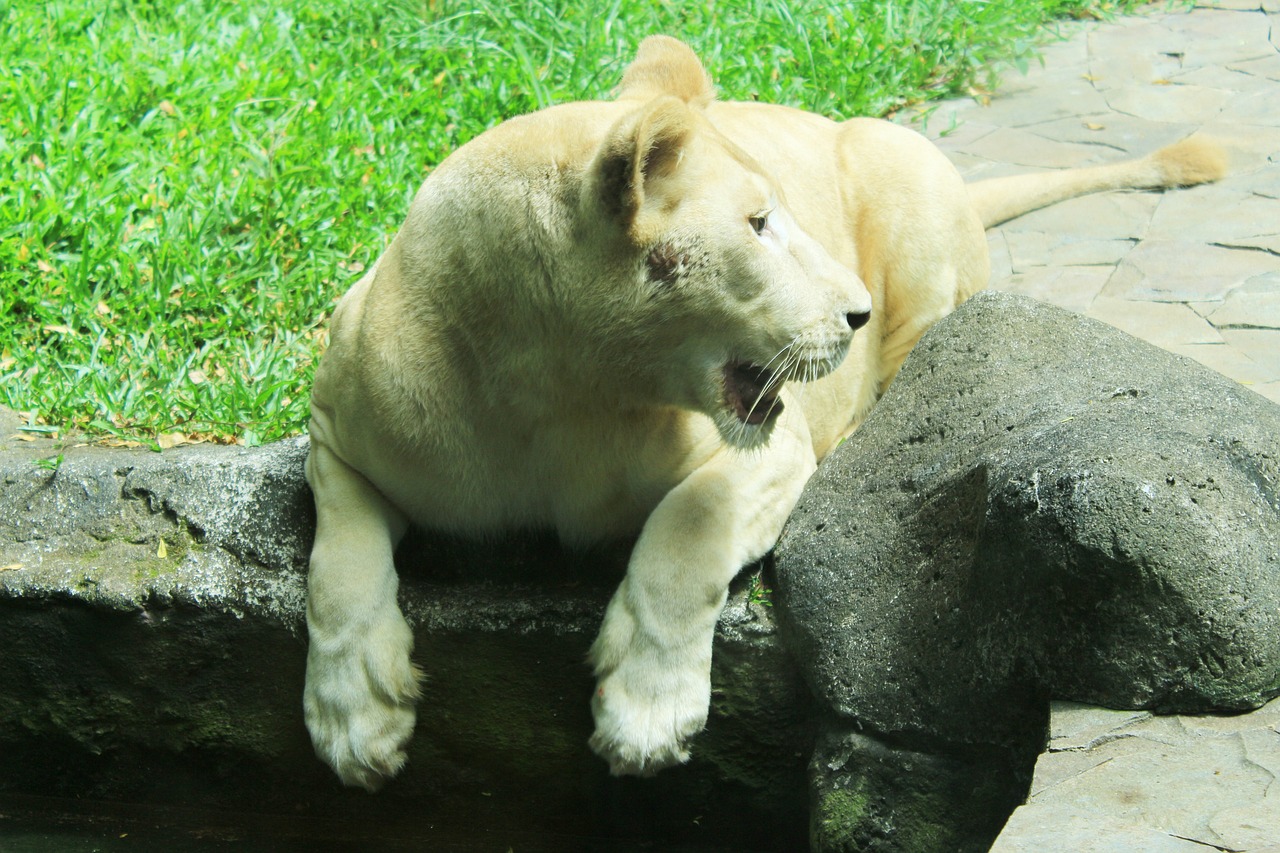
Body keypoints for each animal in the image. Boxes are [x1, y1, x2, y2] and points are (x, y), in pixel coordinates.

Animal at [302, 35, 1226, 790]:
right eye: (755, 224)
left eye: (778, 213)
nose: (854, 313)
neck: (560, 390)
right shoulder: (336, 434)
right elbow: (337, 563)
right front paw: (355, 717)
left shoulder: (775, 450)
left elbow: (686, 529)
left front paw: (645, 711)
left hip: (901, 164)